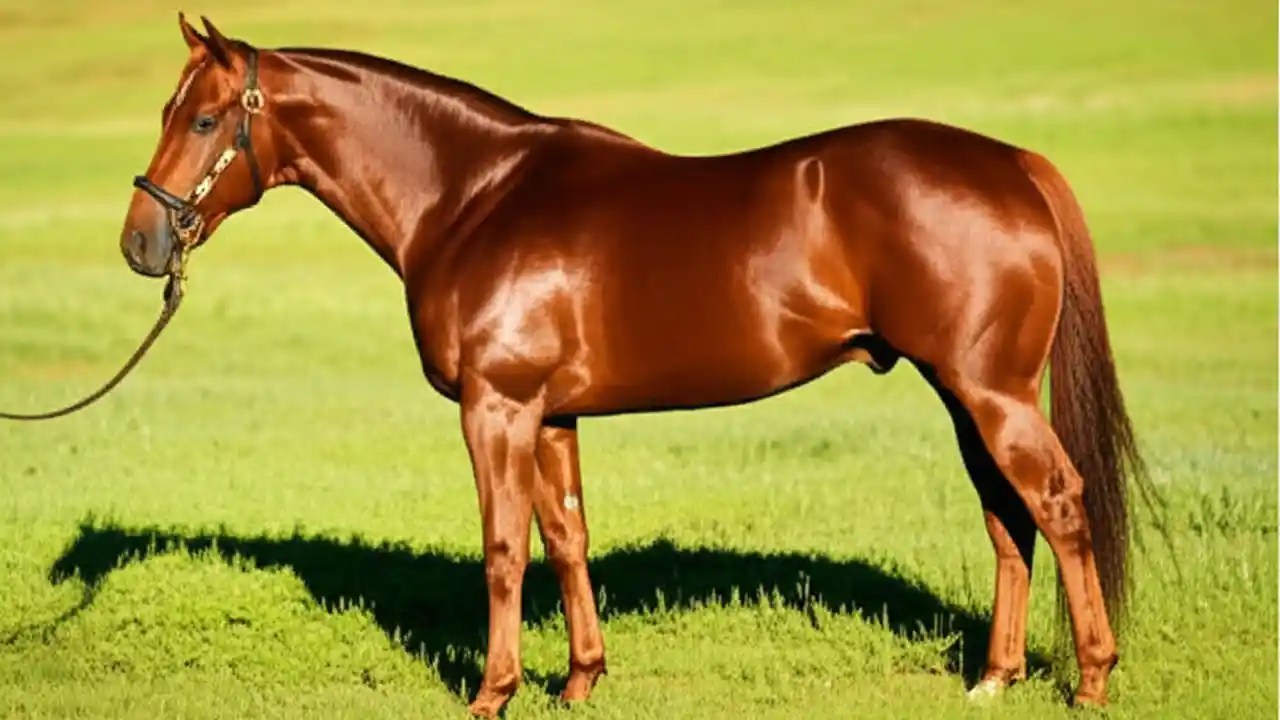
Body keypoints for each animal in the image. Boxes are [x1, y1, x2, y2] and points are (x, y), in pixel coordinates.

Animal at [121, 15, 1147, 716]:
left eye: (205, 119)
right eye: (167, 109)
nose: (140, 242)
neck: (474, 196)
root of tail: (1011, 165)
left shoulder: (495, 408)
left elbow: (503, 551)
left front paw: (492, 693)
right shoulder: (550, 414)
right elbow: (567, 539)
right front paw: (580, 680)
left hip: (991, 394)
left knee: (1056, 505)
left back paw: (1092, 680)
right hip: (967, 395)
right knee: (1007, 518)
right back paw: (996, 679)